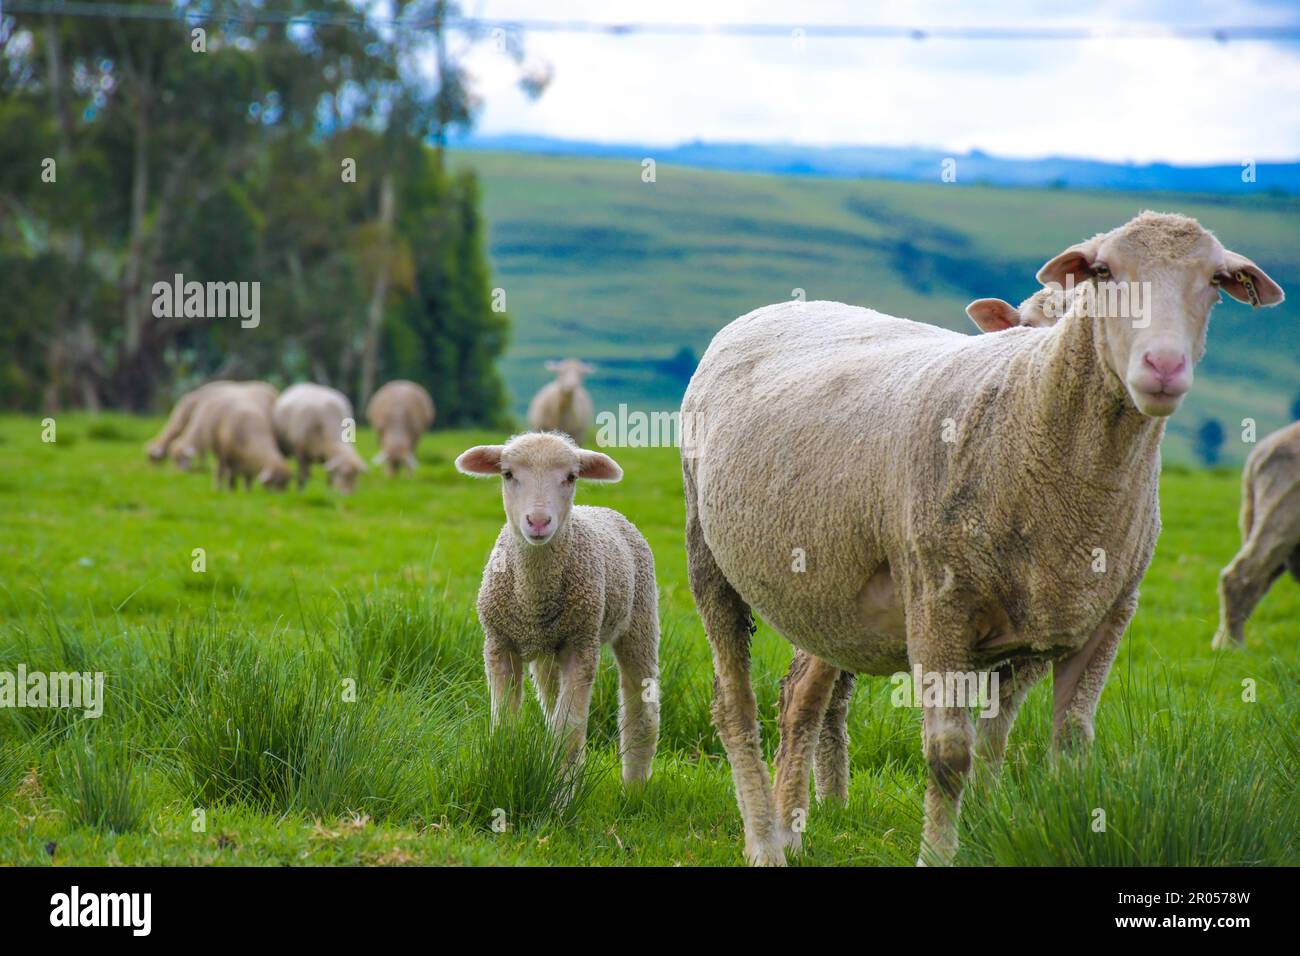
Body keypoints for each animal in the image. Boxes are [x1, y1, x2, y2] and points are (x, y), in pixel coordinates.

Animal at [455, 432, 660, 785]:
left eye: (571, 477)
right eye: (508, 474)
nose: (538, 521)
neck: (534, 596)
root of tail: (600, 509)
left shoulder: (581, 645)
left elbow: (568, 735)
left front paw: (561, 791)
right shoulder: (499, 643)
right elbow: (506, 725)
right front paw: (505, 771)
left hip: (640, 620)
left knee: (640, 711)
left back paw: (635, 786)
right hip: (548, 654)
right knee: (551, 704)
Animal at [680, 211, 1284, 866]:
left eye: (1215, 282)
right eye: (1103, 271)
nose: (1164, 366)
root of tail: (774, 310)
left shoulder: (1096, 619)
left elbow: (1055, 745)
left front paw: (994, 826)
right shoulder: (939, 605)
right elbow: (950, 755)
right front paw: (938, 852)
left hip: (826, 594)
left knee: (802, 695)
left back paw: (791, 824)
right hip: (707, 553)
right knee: (736, 704)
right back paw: (767, 839)